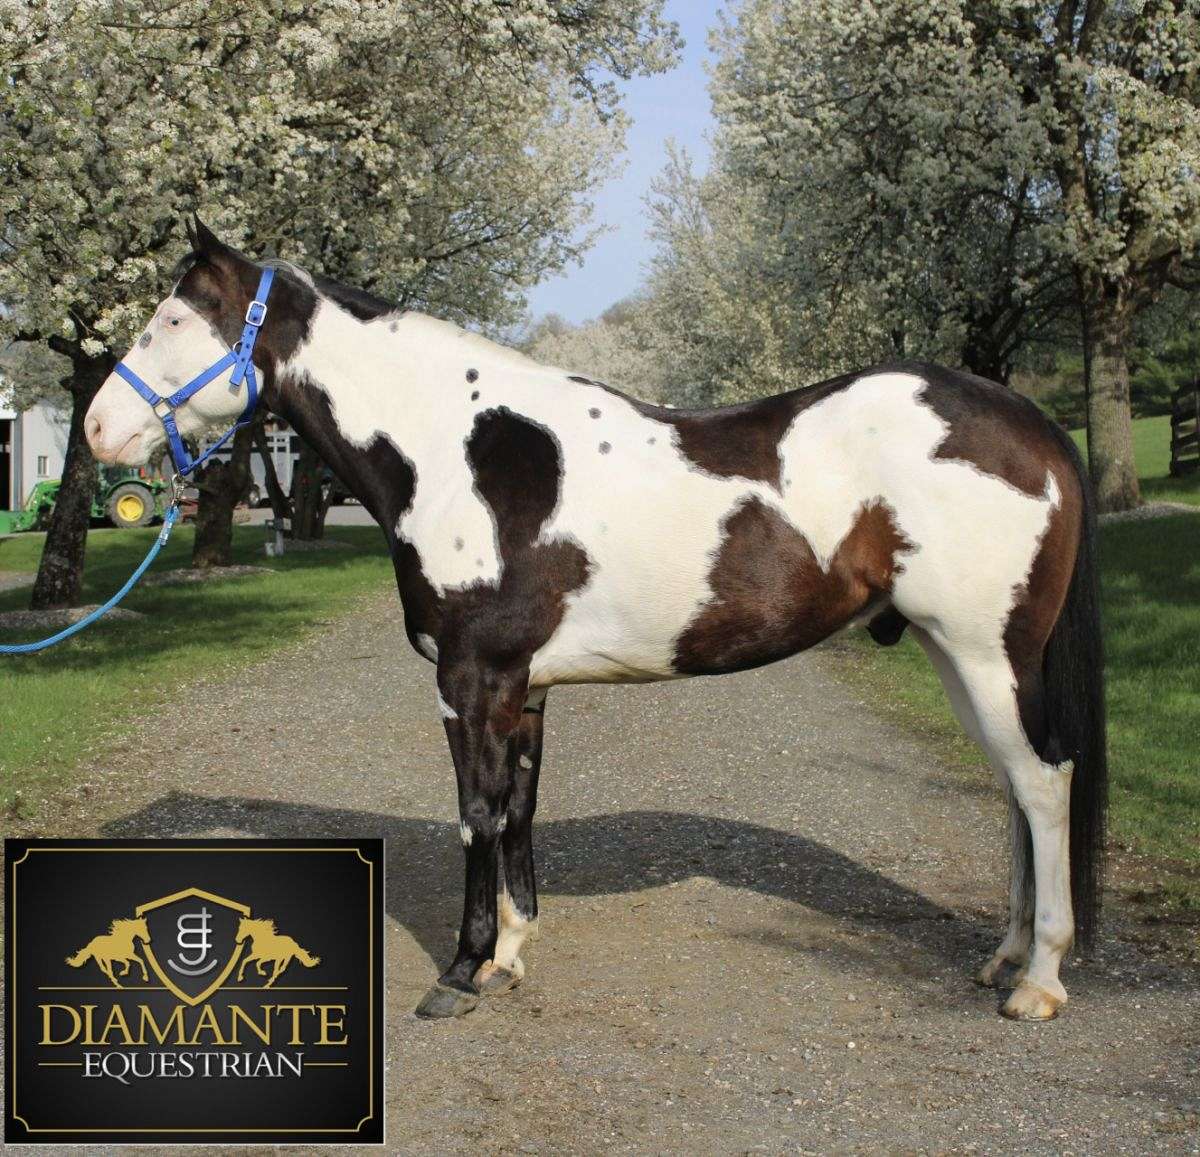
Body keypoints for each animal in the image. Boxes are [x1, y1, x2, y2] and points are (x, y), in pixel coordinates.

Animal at [84, 220, 1106, 1022]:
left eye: (172, 320)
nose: (97, 429)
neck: (456, 452)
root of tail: (1030, 420)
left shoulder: (470, 682)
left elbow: (474, 816)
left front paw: (460, 971)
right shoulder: (522, 689)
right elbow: (518, 811)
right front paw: (508, 955)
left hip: (988, 654)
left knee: (1044, 782)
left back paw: (1040, 980)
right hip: (958, 656)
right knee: (1016, 793)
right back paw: (1005, 956)